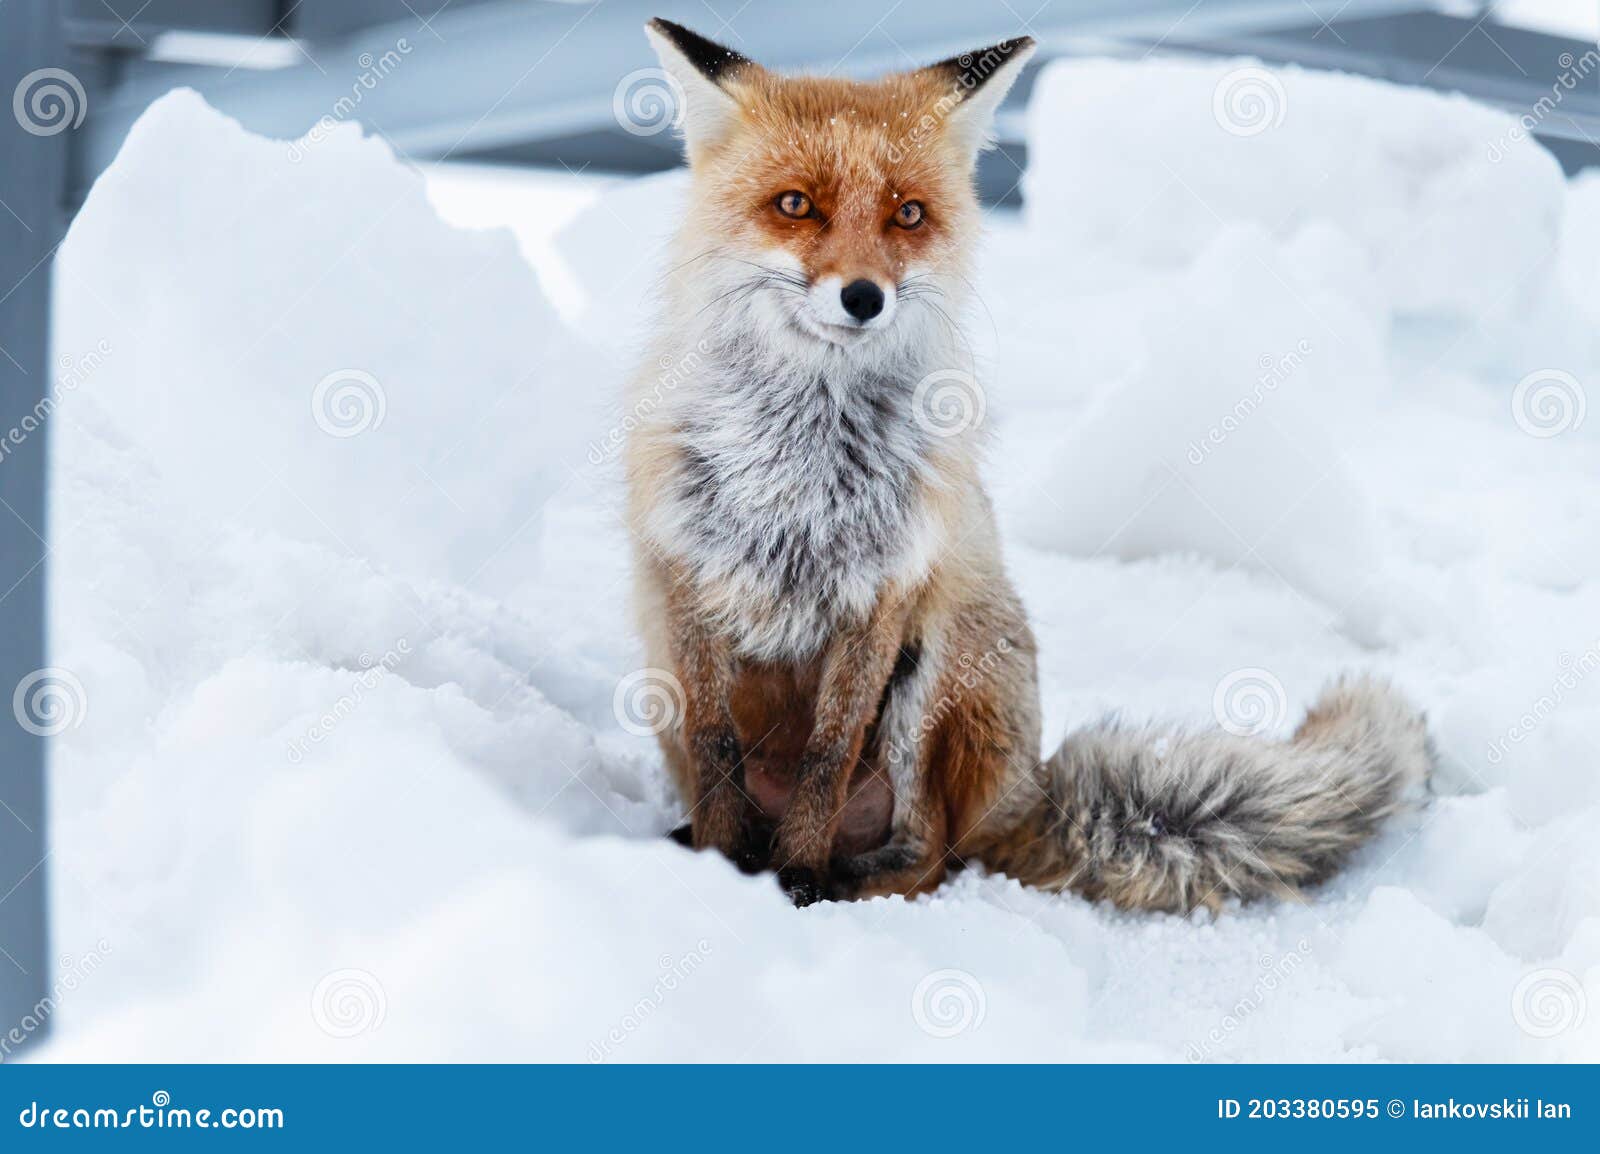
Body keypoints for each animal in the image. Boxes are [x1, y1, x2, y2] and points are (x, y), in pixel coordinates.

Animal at [626, 19, 1432, 909]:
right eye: (796, 204)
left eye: (909, 215)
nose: (864, 297)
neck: (797, 465)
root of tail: (1027, 796)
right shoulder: (687, 575)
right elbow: (716, 749)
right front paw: (718, 864)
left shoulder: (884, 594)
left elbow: (827, 756)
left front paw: (792, 878)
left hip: (937, 664)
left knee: (933, 852)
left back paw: (842, 879)